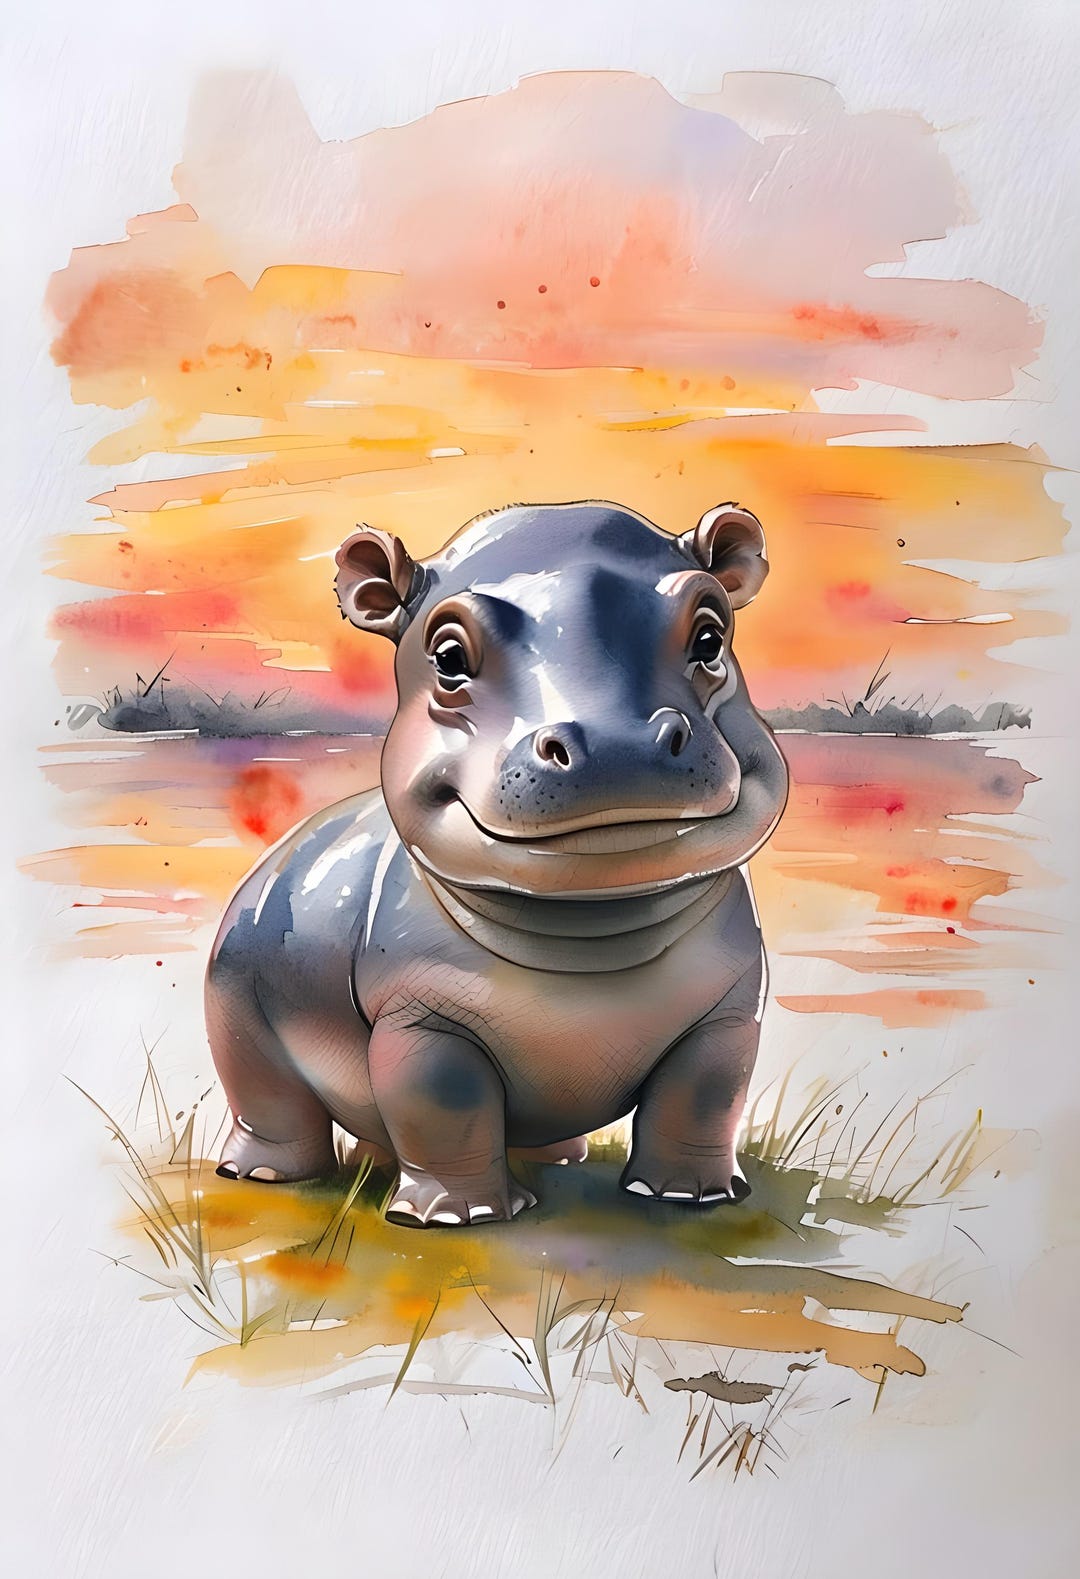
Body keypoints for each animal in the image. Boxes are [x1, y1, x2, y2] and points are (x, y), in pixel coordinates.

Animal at [207, 501, 789, 1227]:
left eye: (711, 634)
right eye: (448, 655)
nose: (616, 742)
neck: (591, 933)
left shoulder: (728, 1016)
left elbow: (705, 1095)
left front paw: (689, 1194)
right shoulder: (423, 1019)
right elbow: (441, 1105)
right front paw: (459, 1216)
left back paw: (552, 1158)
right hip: (238, 1006)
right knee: (269, 1101)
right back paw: (262, 1174)